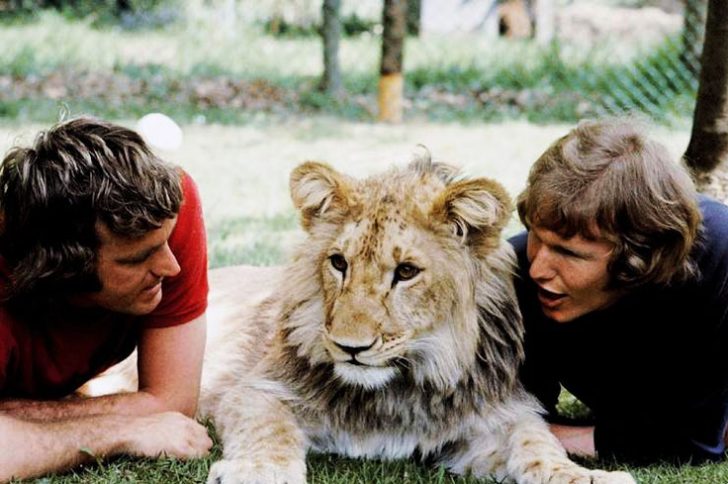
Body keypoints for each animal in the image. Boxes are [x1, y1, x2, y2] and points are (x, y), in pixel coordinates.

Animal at [199, 158, 636, 484]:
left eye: (406, 272)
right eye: (339, 263)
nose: (349, 347)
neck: (399, 390)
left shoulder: (490, 419)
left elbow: (537, 442)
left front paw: (584, 475)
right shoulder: (255, 389)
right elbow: (269, 430)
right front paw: (258, 471)